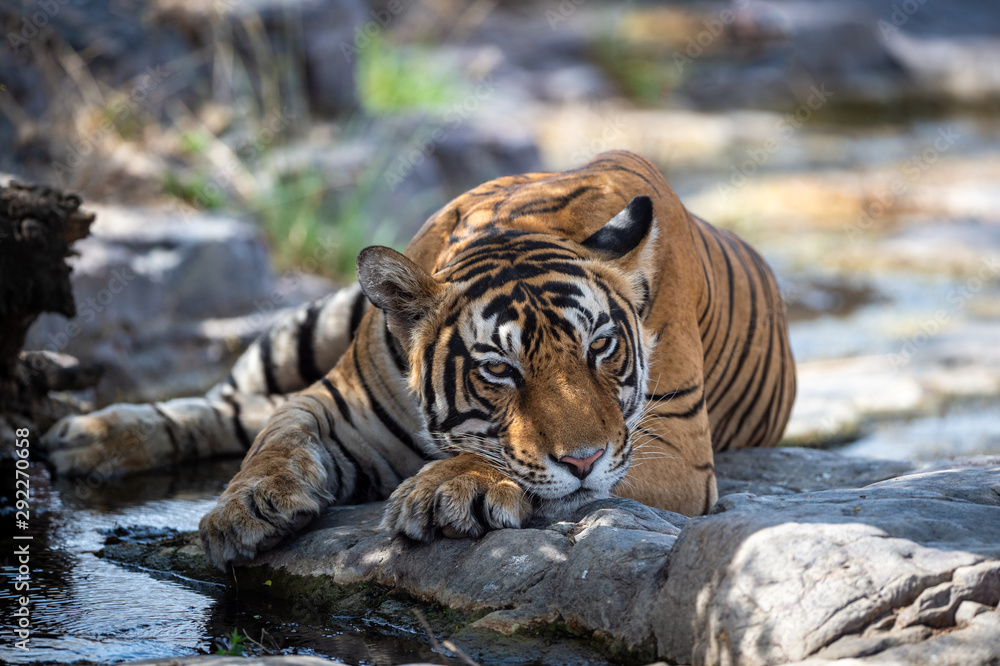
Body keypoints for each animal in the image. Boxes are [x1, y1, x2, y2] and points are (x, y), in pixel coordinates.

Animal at [41, 150, 796, 570]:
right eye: (500, 370)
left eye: (601, 348)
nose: (582, 458)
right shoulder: (338, 404)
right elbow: (276, 435)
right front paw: (244, 507)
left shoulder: (676, 447)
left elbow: (544, 476)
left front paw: (449, 489)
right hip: (320, 319)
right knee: (238, 400)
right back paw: (90, 436)